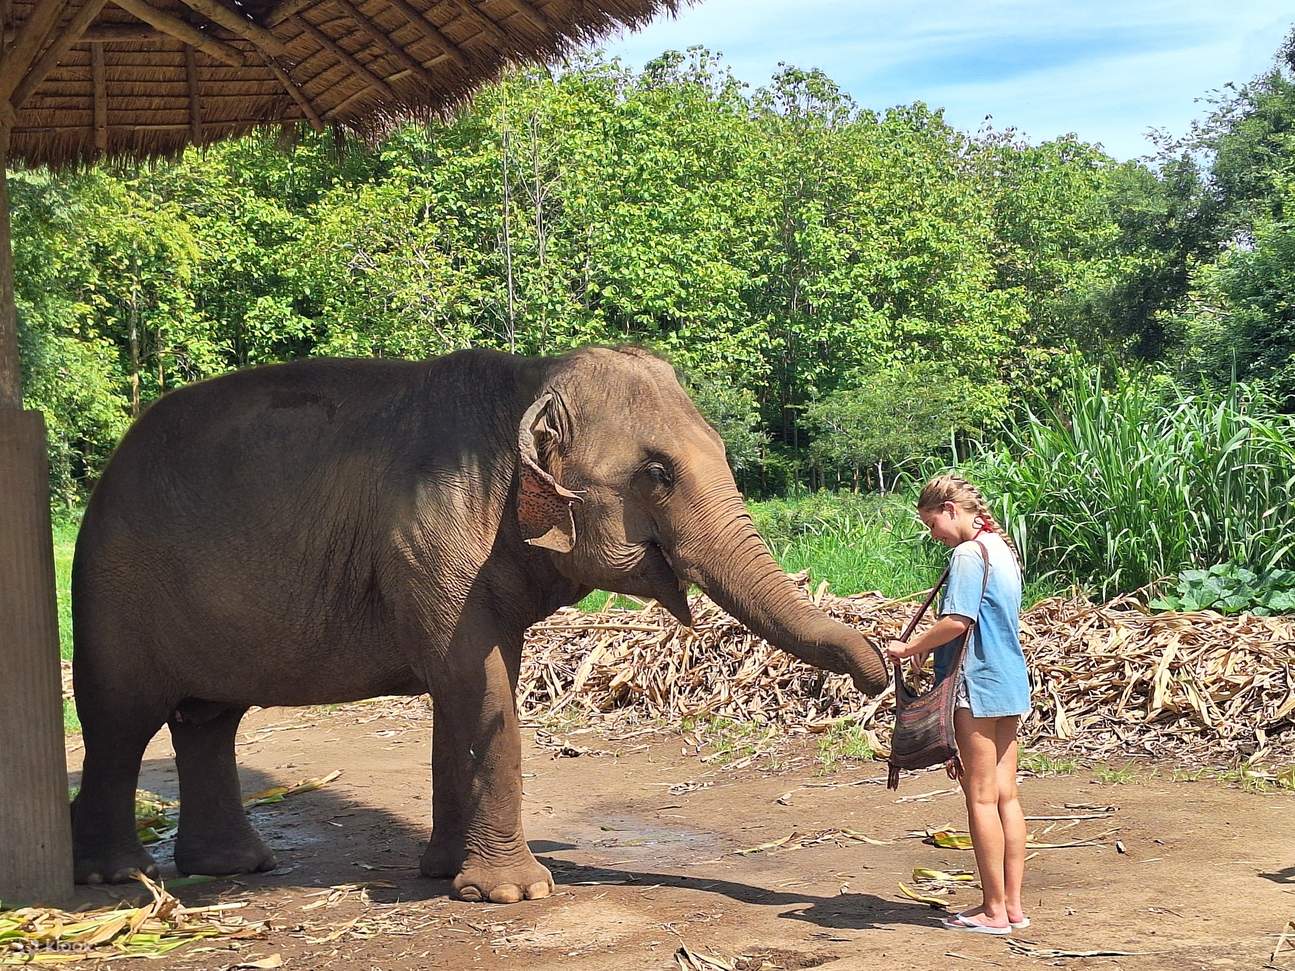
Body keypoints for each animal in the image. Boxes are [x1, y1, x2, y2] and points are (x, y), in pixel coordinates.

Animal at [70, 345, 886, 902]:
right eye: (657, 473)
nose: (881, 671)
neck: (529, 383)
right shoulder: (429, 542)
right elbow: (477, 683)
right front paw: (515, 892)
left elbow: (470, 686)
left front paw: (443, 873)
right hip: (110, 588)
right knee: (122, 720)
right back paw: (119, 875)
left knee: (207, 719)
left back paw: (234, 866)